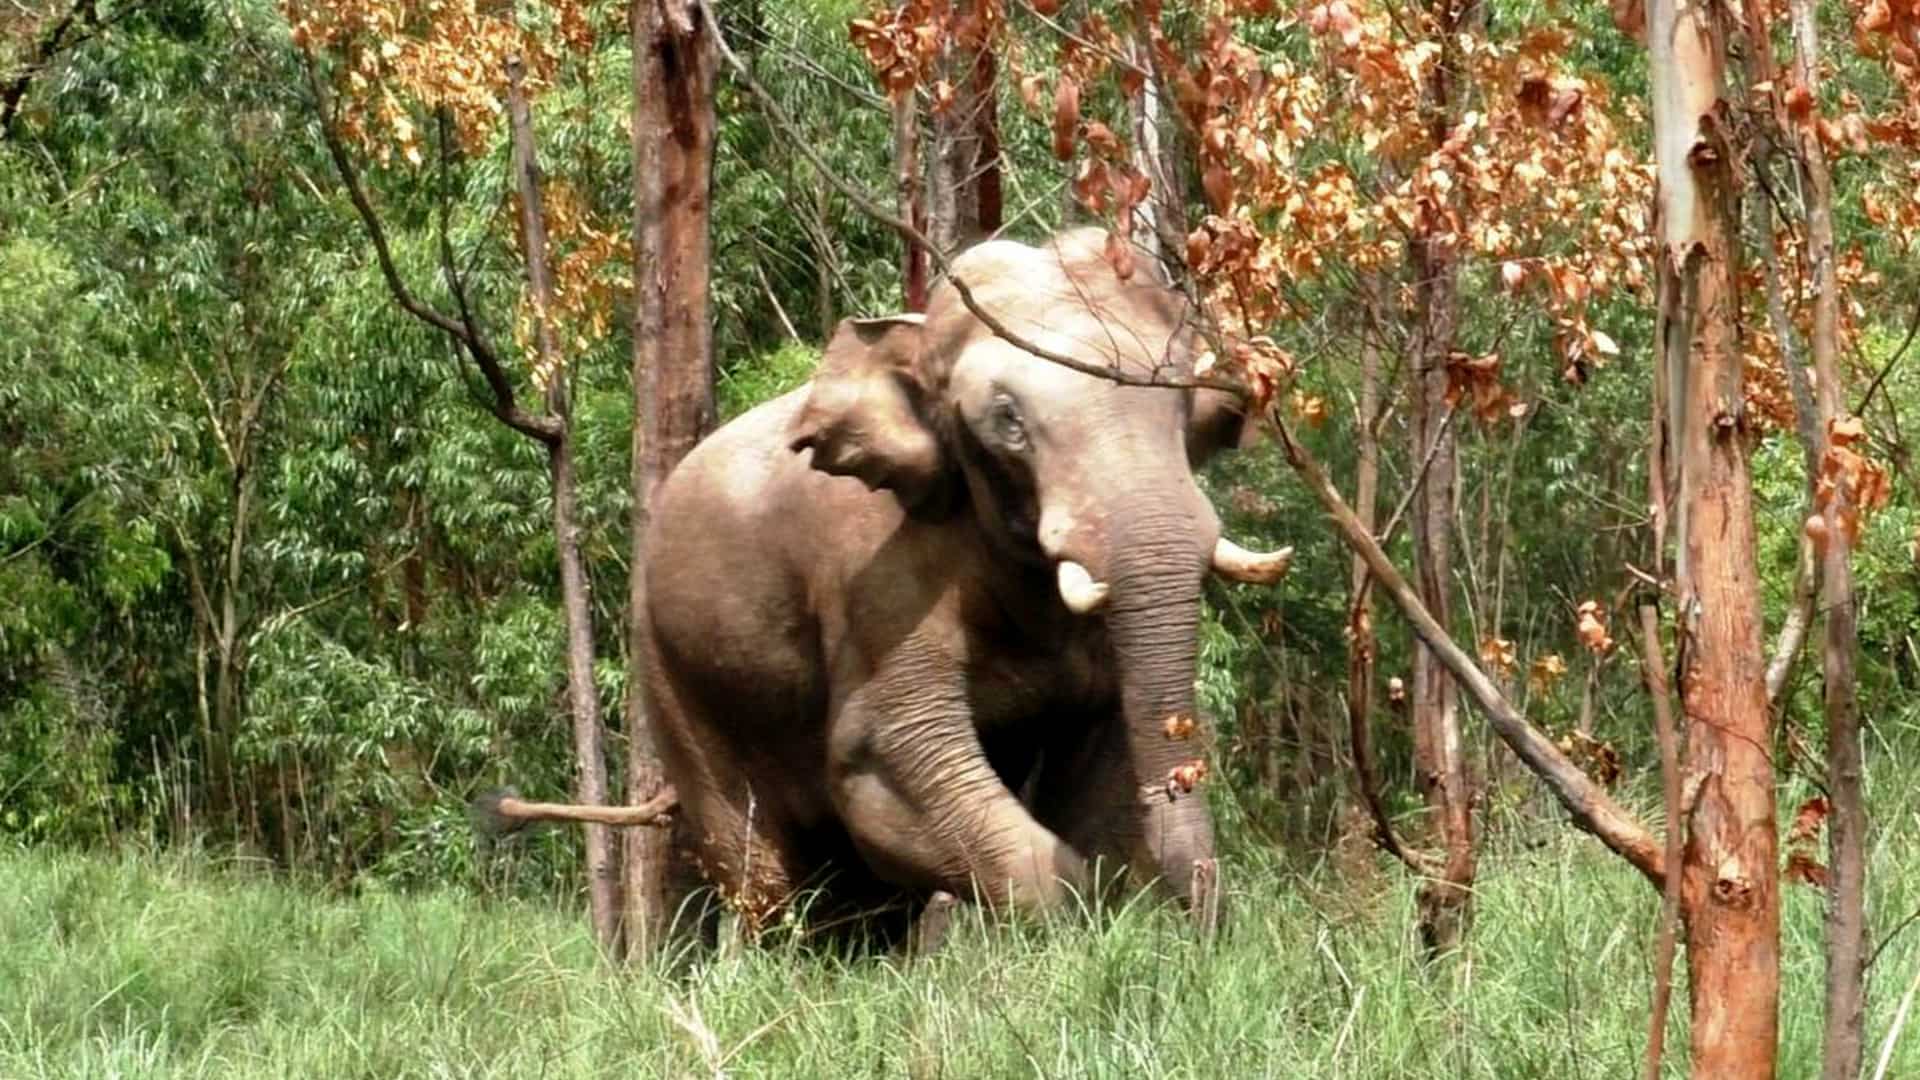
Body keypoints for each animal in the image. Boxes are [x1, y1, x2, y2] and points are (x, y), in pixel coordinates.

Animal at [485, 228, 1289, 935]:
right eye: (1008, 420)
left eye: (1184, 403)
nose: (1209, 926)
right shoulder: (876, 578)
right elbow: (881, 753)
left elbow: (1101, 744)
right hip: (672, 672)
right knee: (760, 870)